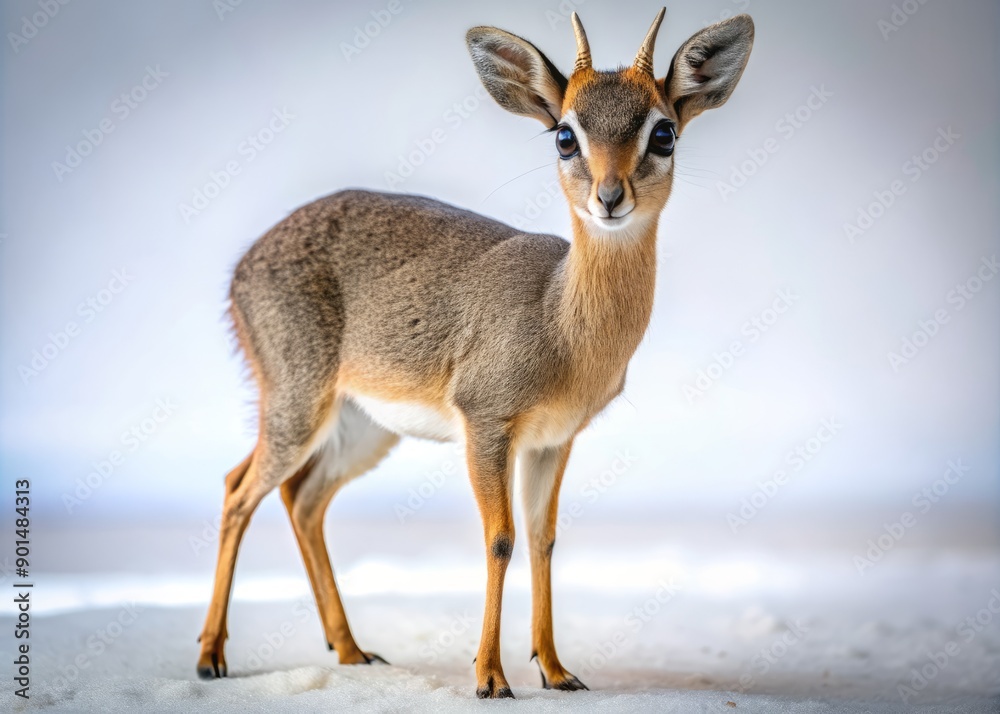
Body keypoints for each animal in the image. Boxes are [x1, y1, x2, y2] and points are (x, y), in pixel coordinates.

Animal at [197, 8, 754, 699]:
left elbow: (543, 539)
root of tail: (243, 266)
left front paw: (558, 670)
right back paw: (212, 657)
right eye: (565, 135)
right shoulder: (486, 423)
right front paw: (491, 678)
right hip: (297, 404)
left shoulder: (552, 440)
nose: (610, 195)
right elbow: (500, 539)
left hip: (361, 426)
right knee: (237, 489)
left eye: (664, 132)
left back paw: (353, 650)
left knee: (302, 498)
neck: (560, 320)